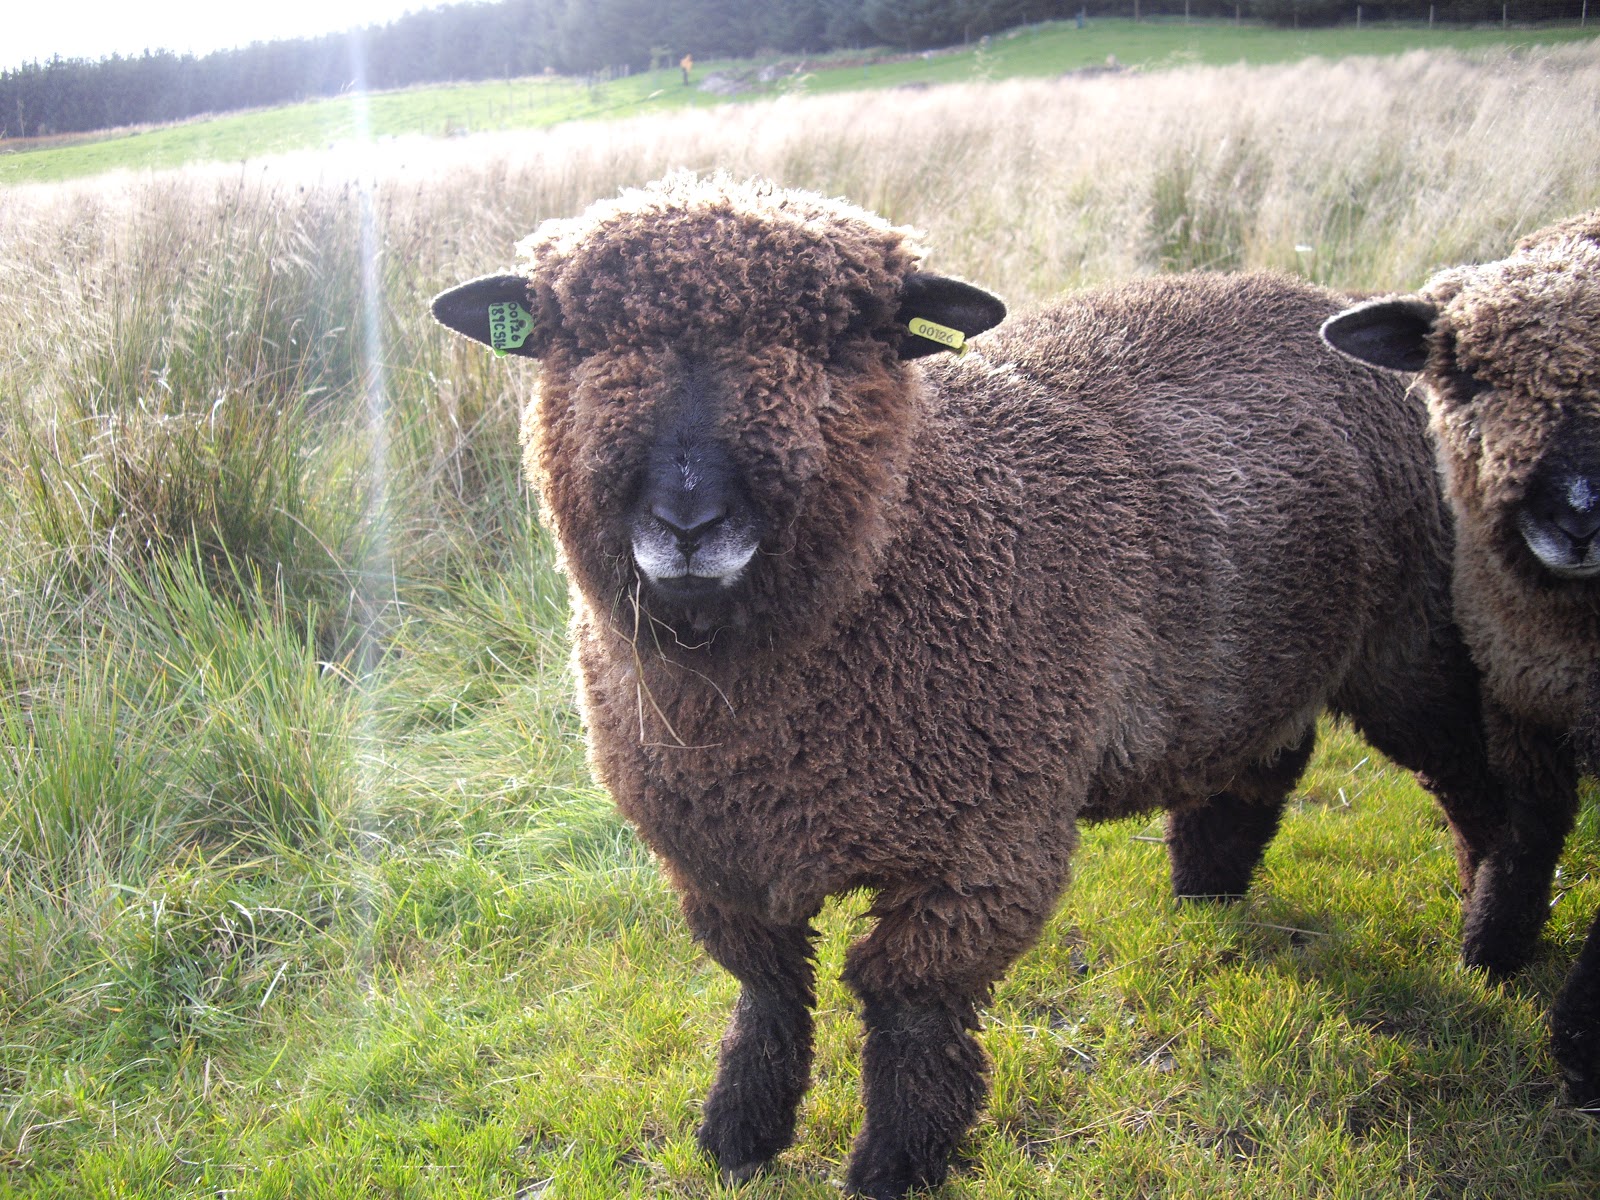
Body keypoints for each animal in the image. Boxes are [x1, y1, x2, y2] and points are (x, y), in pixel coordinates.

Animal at [431, 174, 1508, 1198]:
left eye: (837, 340)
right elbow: (768, 992)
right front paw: (739, 1135)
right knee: (1265, 756)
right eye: (575, 339)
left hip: (1410, 640)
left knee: (1474, 773)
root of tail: (1319, 301)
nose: (689, 520)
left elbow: (905, 1003)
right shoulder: (715, 854)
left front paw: (897, 1164)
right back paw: (1207, 894)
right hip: (1250, 659)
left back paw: (1492, 935)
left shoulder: (983, 850)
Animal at [1322, 209, 1600, 1108]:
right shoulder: (1521, 702)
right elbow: (1528, 829)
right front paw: (1492, 953)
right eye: (1469, 376)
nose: (1578, 518)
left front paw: (1579, 1042)